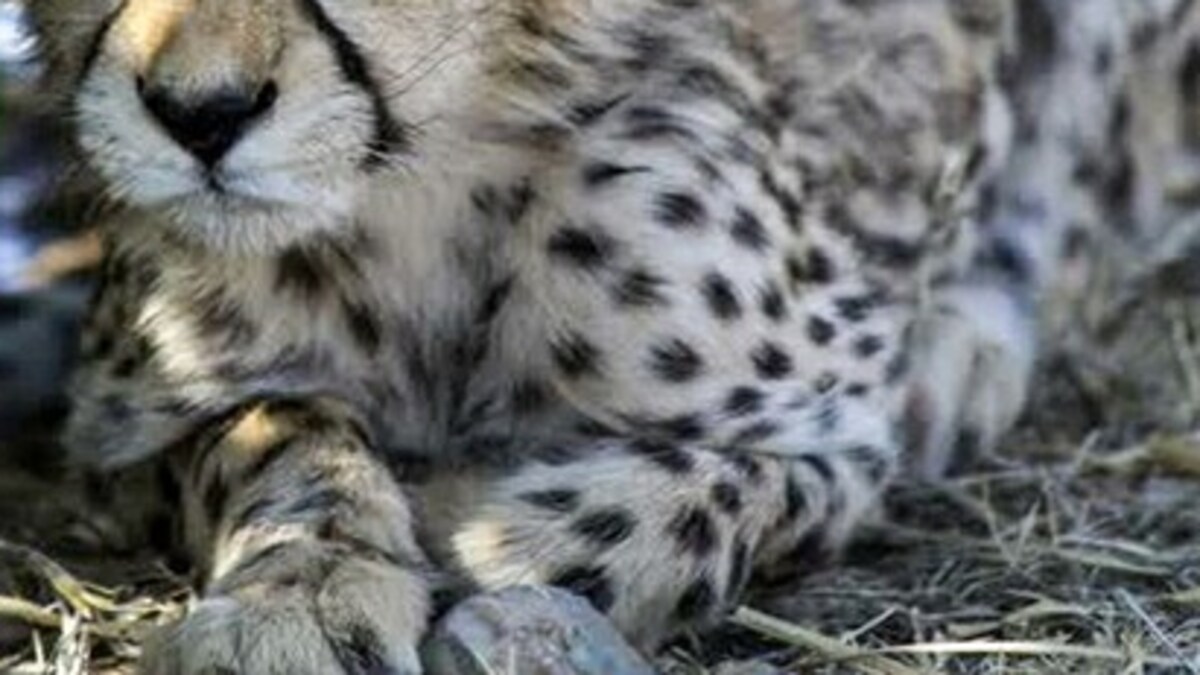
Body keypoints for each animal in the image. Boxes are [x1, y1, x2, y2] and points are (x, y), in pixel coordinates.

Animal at [13, 0, 1198, 672]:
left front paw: (480, 531)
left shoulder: (843, 431)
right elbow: (273, 429)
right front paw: (297, 590)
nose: (200, 113)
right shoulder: (117, 433)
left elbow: (721, 494)